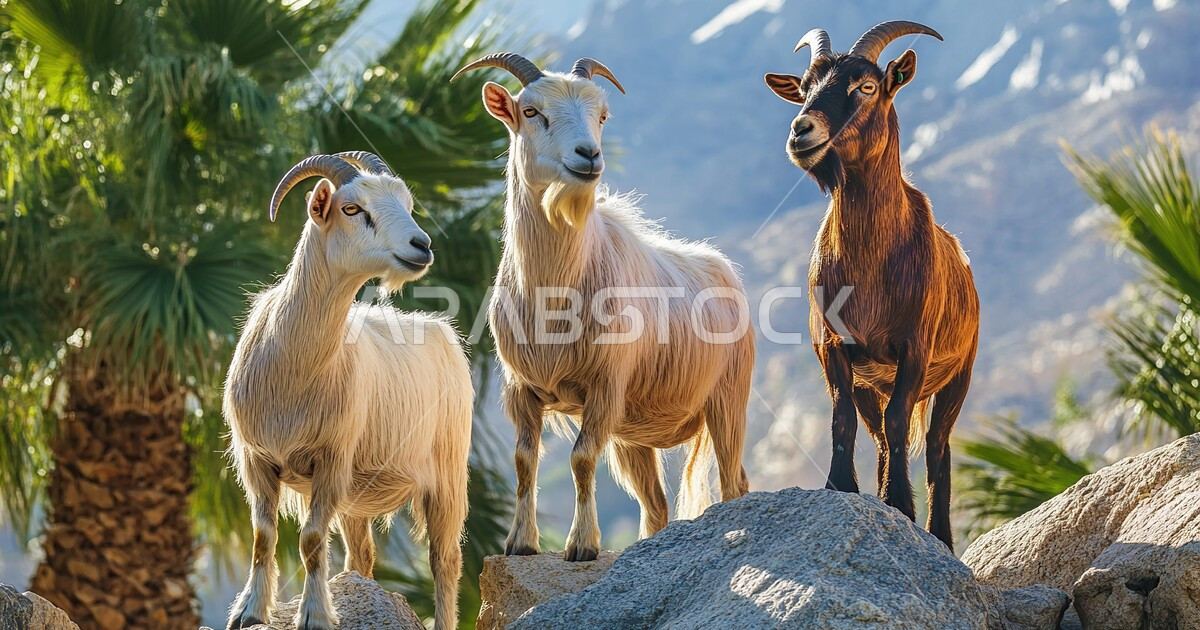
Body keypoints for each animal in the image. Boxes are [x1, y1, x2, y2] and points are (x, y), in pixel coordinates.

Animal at [222, 152, 472, 630]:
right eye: (352, 209)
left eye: (406, 203)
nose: (422, 245)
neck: (292, 374)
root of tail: (441, 330)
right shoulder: (256, 458)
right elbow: (264, 535)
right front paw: (249, 611)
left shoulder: (332, 458)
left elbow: (311, 539)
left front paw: (315, 614)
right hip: (359, 494)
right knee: (363, 556)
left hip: (447, 473)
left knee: (445, 560)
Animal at [453, 54, 754, 562]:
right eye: (531, 112)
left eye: (603, 116)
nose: (589, 155)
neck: (553, 298)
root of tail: (724, 268)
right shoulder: (522, 388)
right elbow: (524, 459)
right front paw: (520, 542)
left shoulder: (605, 384)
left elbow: (580, 458)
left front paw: (582, 545)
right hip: (634, 434)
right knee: (656, 506)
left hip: (728, 400)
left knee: (735, 484)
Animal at [764, 22, 979, 550]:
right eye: (804, 87)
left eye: (866, 86)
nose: (802, 130)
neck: (870, 268)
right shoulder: (834, 348)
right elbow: (842, 421)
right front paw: (841, 488)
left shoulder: (914, 348)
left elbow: (901, 421)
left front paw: (899, 503)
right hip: (872, 385)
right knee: (879, 435)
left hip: (958, 376)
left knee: (937, 449)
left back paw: (940, 535)